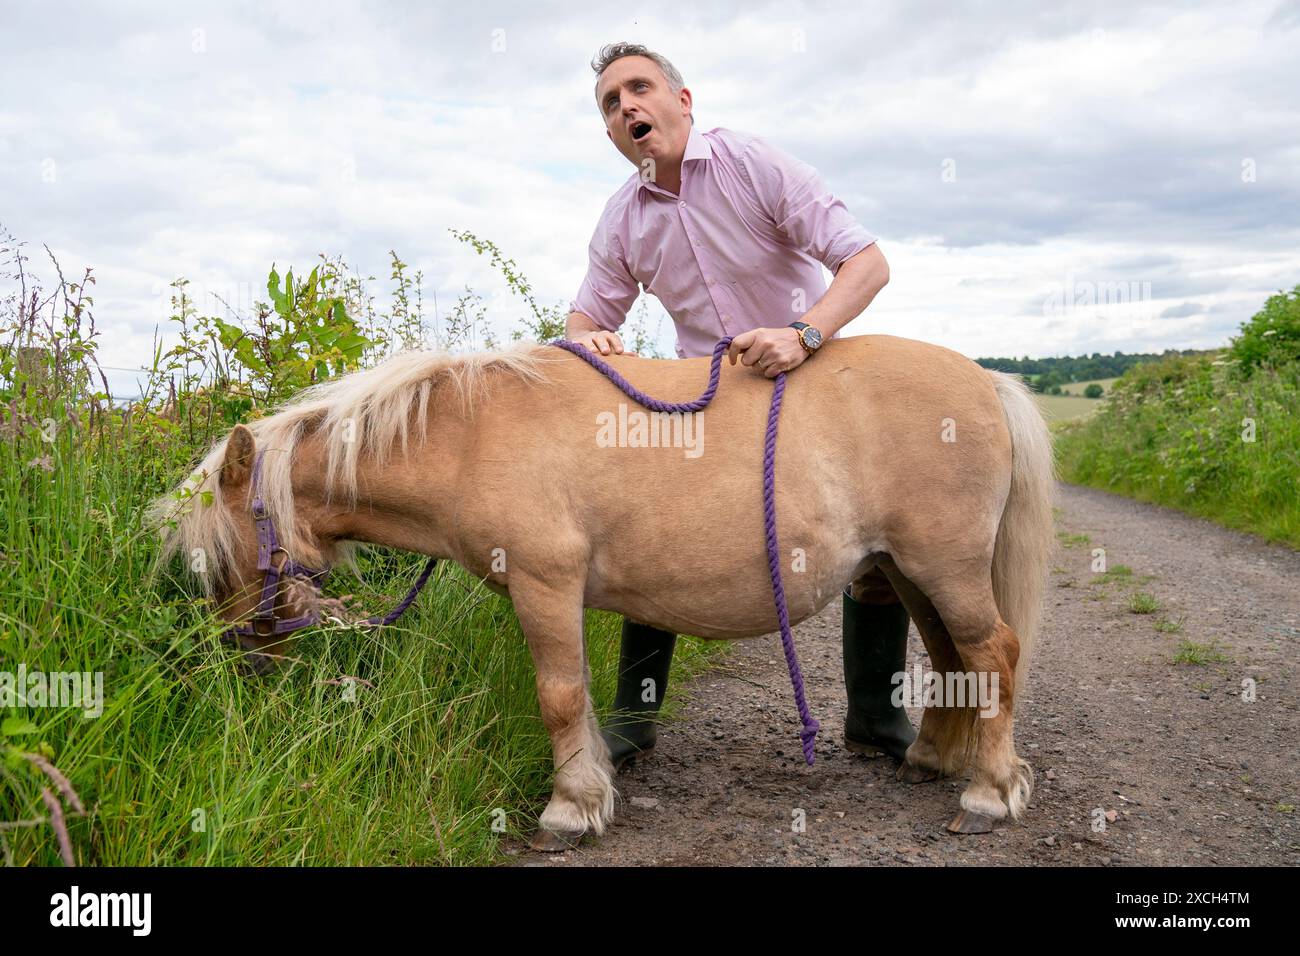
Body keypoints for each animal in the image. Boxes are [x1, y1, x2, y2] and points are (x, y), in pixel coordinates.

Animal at [150, 333, 1056, 849]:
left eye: (215, 557)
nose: (238, 660)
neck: (470, 434)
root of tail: (987, 380)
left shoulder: (545, 584)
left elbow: (557, 696)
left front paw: (568, 808)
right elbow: (577, 697)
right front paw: (594, 788)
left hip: (943, 566)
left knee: (993, 653)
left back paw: (988, 791)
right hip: (911, 569)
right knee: (952, 656)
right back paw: (935, 758)